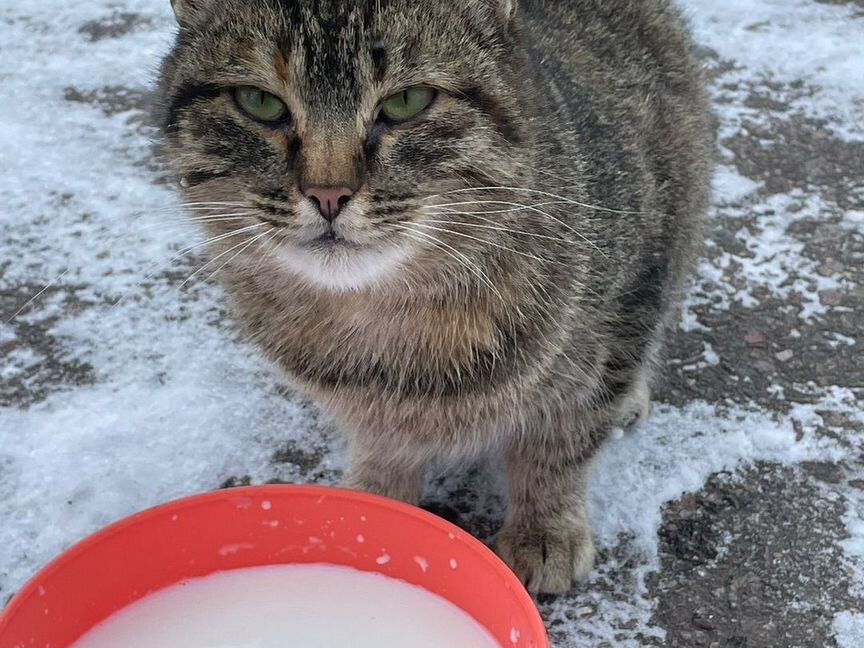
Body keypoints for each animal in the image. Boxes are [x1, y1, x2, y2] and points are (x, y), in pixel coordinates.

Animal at [159, 0, 712, 596]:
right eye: (258, 102)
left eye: (407, 102)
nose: (328, 194)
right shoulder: (367, 406)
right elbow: (383, 448)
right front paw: (370, 508)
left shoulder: (629, 303)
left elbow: (558, 448)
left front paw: (545, 528)